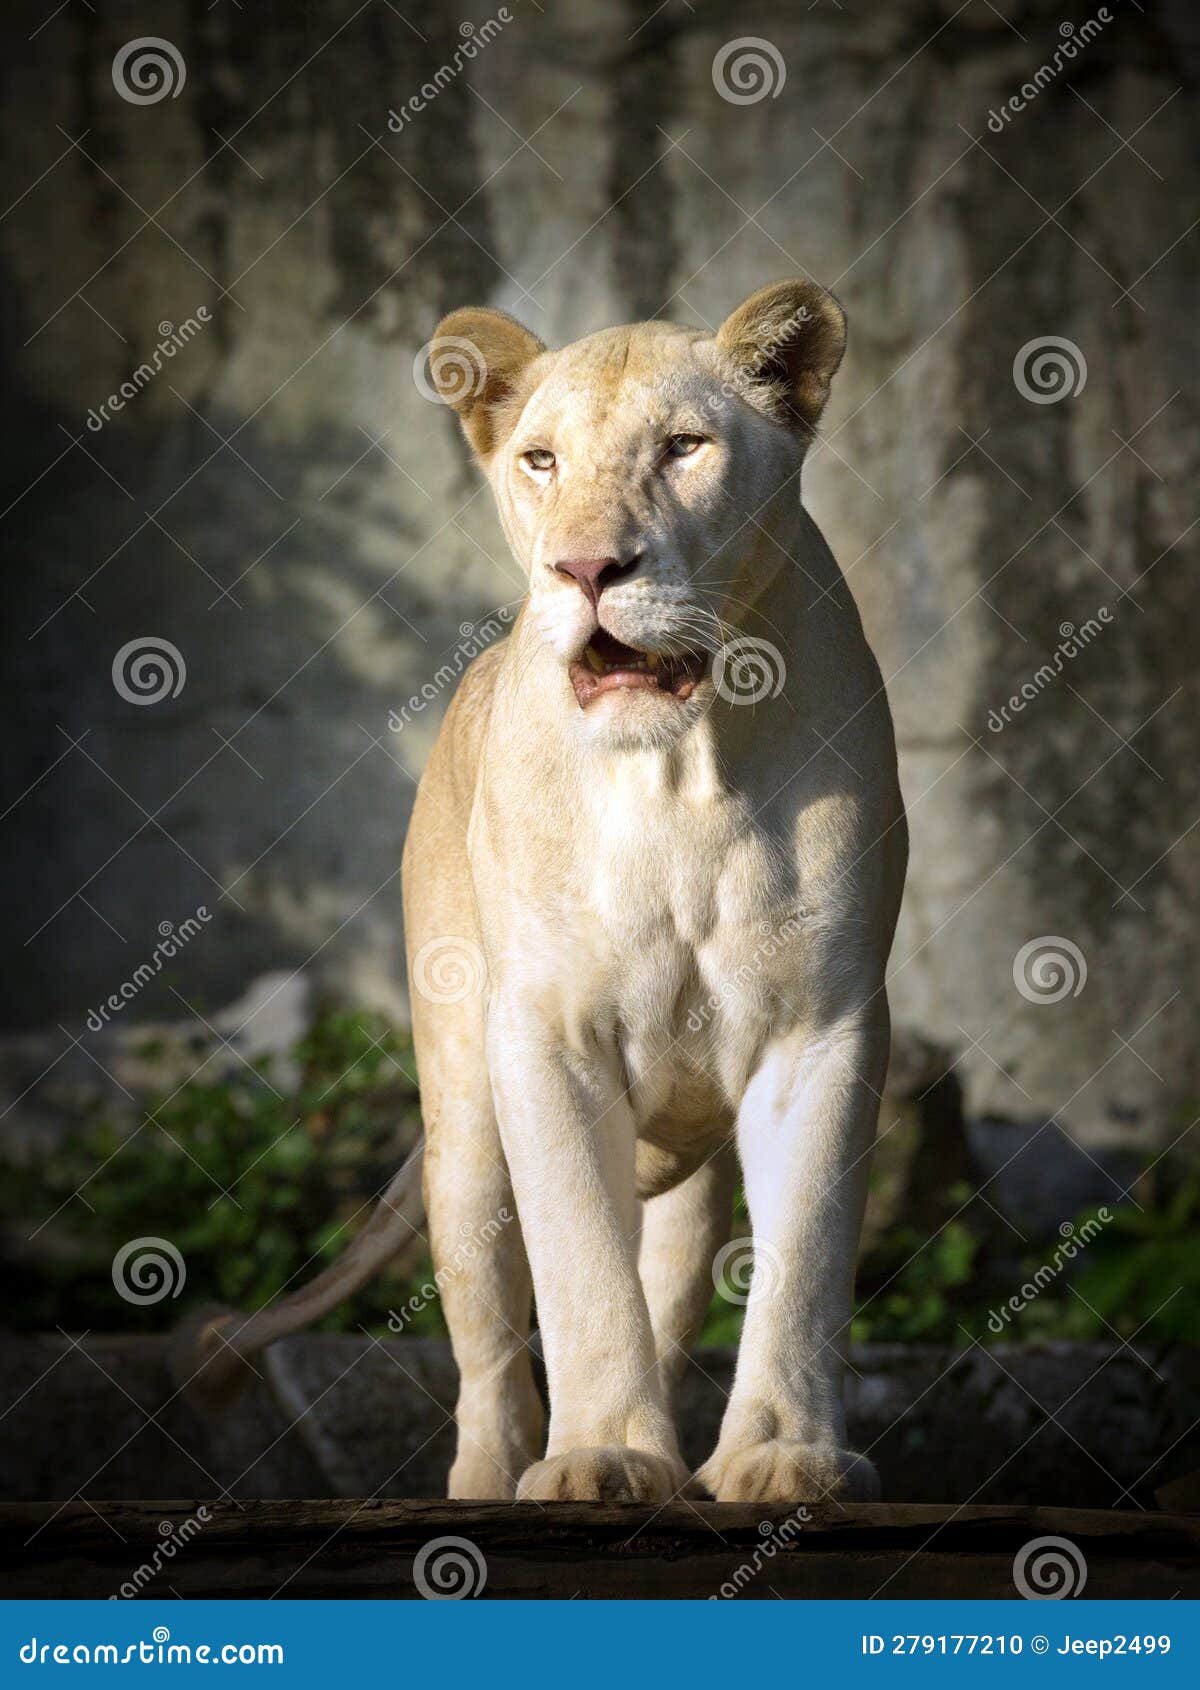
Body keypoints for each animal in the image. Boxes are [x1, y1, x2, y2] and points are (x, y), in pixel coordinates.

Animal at [175, 280, 907, 1505]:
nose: (586, 571)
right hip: (464, 1118)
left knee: (669, 1280)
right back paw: (495, 1476)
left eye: (685, 447)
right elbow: (576, 1269)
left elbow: (802, 1260)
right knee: (485, 1342)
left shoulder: (823, 1025)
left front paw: (780, 1455)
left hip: (688, 1164)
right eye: (541, 460)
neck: (679, 772)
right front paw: (602, 1454)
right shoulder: (546, 1036)